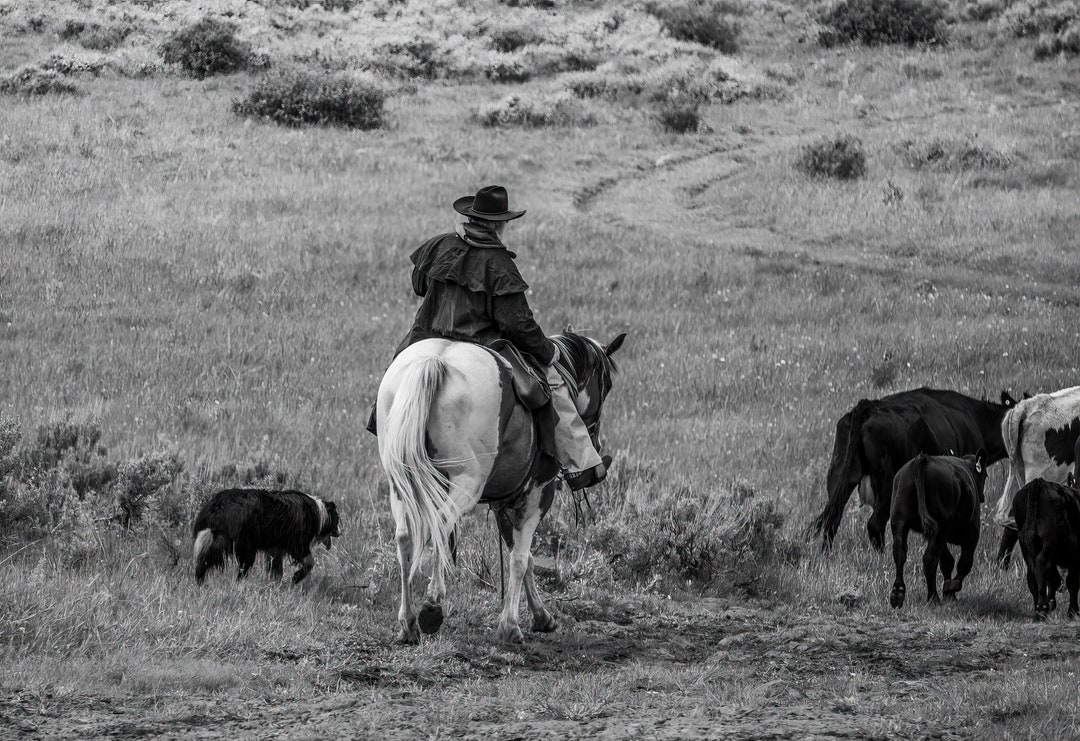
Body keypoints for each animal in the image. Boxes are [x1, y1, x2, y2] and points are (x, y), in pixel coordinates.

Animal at [889, 451, 987, 608]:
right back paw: (933, 597)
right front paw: (952, 587)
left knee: (899, 554)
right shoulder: (972, 533)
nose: (982, 496)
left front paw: (949, 594)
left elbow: (947, 561)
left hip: (899, 522)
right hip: (940, 526)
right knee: (929, 559)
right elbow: (964, 563)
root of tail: (922, 459)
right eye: (986, 475)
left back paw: (897, 594)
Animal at [1011, 478, 1080, 618]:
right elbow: (1072, 582)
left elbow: (1054, 579)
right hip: (1048, 544)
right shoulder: (1075, 556)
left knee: (1033, 573)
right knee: (1041, 566)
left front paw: (1053, 602)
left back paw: (1038, 607)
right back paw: (1042, 607)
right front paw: (1073, 611)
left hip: (1028, 547)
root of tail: (1039, 482)